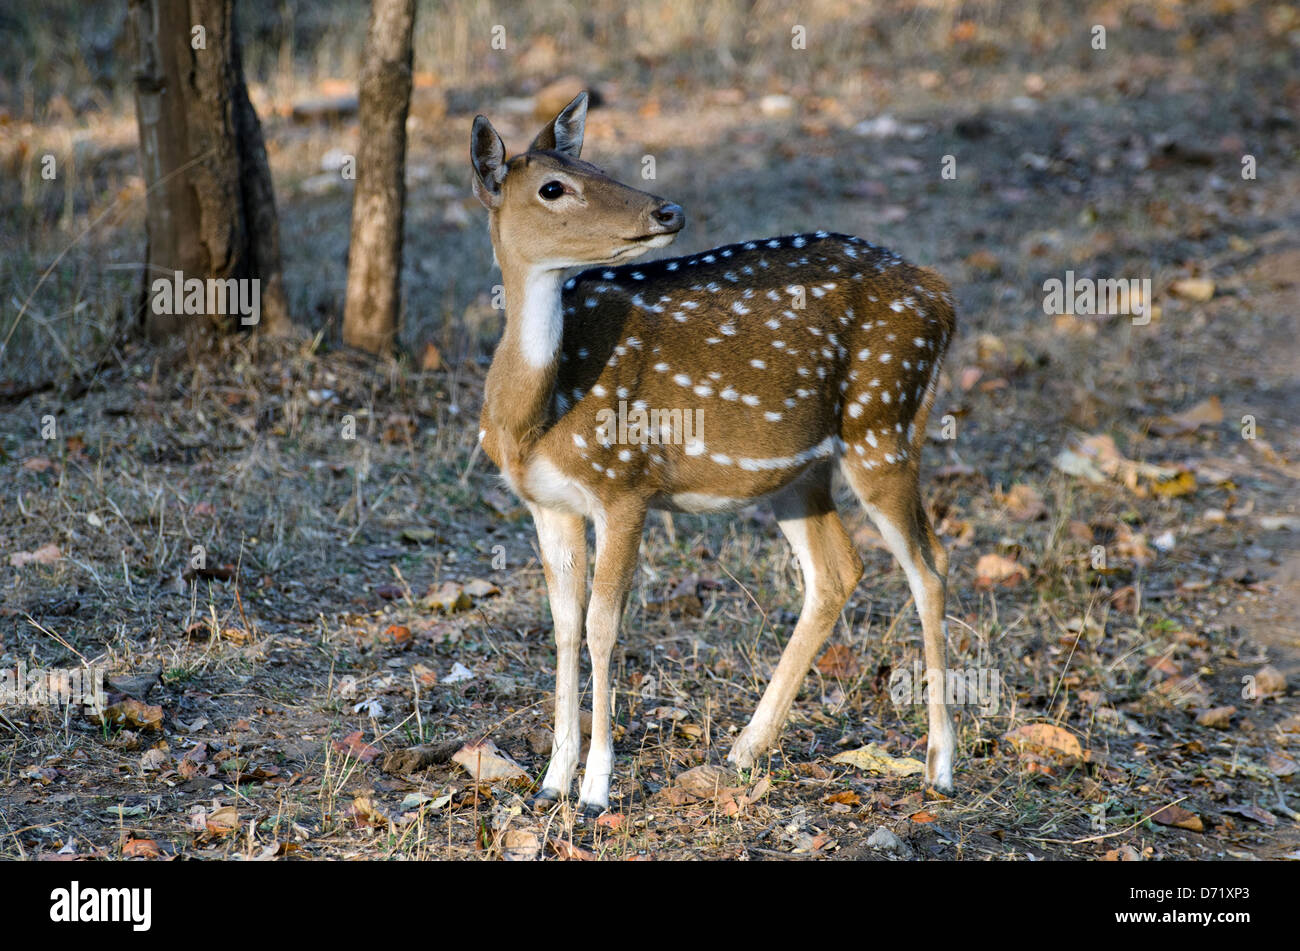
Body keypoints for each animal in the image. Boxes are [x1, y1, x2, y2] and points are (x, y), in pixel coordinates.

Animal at [470, 92, 957, 816]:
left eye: (598, 165)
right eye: (554, 186)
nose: (665, 210)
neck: (536, 413)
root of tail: (941, 295)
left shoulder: (627, 483)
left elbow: (603, 625)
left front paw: (596, 787)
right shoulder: (548, 503)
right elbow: (562, 624)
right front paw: (554, 779)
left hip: (884, 423)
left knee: (929, 565)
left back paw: (940, 763)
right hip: (801, 469)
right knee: (838, 570)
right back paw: (745, 749)